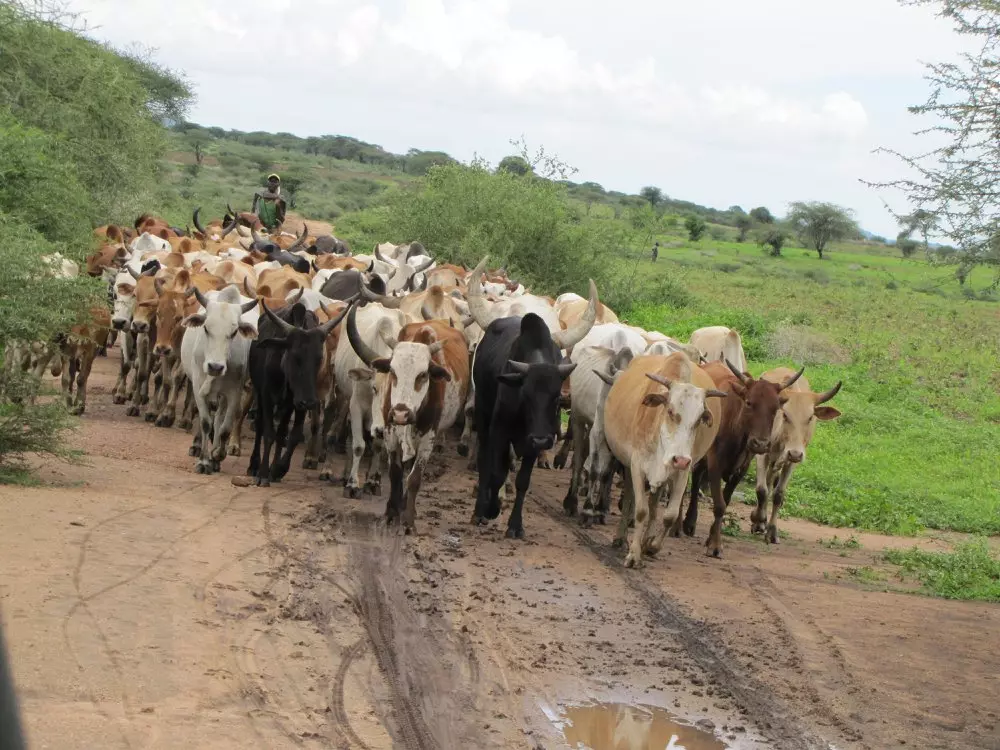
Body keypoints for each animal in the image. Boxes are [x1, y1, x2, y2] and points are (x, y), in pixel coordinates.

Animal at [180, 288, 260, 476]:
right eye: (206, 328)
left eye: (234, 332)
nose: (215, 367)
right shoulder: (198, 388)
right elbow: (205, 423)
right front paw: (203, 461)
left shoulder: (234, 393)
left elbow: (224, 428)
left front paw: (217, 455)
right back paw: (197, 446)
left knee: (219, 419)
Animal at [245, 300, 352, 488]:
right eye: (295, 356)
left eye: (319, 358)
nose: (309, 402)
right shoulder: (267, 396)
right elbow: (268, 433)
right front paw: (263, 473)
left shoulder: (294, 402)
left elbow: (287, 435)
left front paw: (277, 469)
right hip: (260, 393)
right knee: (259, 426)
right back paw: (254, 465)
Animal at [464, 258, 596, 540]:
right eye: (524, 393)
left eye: (556, 398)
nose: (543, 440)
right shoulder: (500, 430)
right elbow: (496, 470)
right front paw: (490, 508)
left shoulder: (534, 439)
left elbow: (523, 480)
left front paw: (515, 525)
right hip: (483, 413)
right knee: (485, 460)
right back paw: (480, 509)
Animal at [600, 354, 728, 568]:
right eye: (670, 411)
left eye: (699, 419)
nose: (680, 459)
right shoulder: (636, 465)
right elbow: (640, 511)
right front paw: (634, 555)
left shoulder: (681, 473)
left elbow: (669, 516)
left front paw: (651, 546)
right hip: (628, 465)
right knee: (630, 498)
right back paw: (620, 538)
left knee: (654, 505)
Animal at [672, 358, 804, 560]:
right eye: (749, 402)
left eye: (776, 408)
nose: (760, 444)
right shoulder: (715, 462)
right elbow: (719, 505)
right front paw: (715, 545)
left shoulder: (742, 469)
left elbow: (725, 502)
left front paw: (711, 538)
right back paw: (678, 525)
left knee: (695, 479)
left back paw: (689, 522)